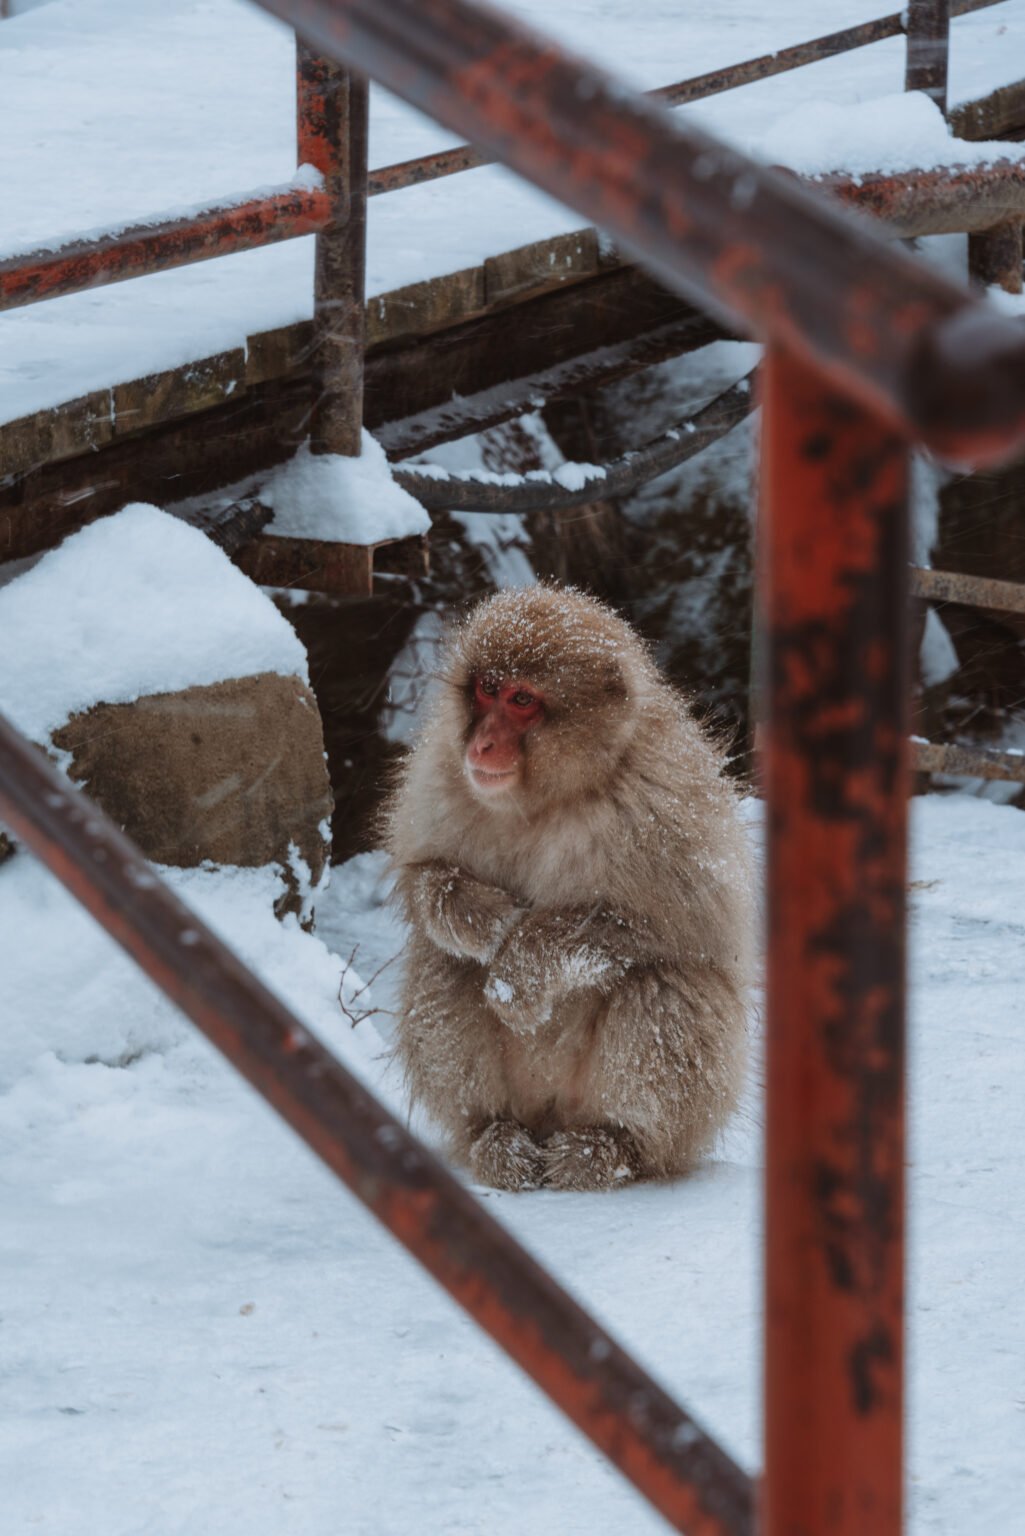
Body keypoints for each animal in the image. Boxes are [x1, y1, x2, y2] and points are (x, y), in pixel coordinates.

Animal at [385, 584, 754, 1192]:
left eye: (523, 700)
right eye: (487, 689)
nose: (482, 745)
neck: (547, 799)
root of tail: (548, 1118)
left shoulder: (664, 802)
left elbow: (680, 929)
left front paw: (520, 966)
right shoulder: (442, 772)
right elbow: (425, 877)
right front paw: (488, 921)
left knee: (663, 981)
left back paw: (609, 1147)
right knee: (442, 962)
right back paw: (493, 1135)